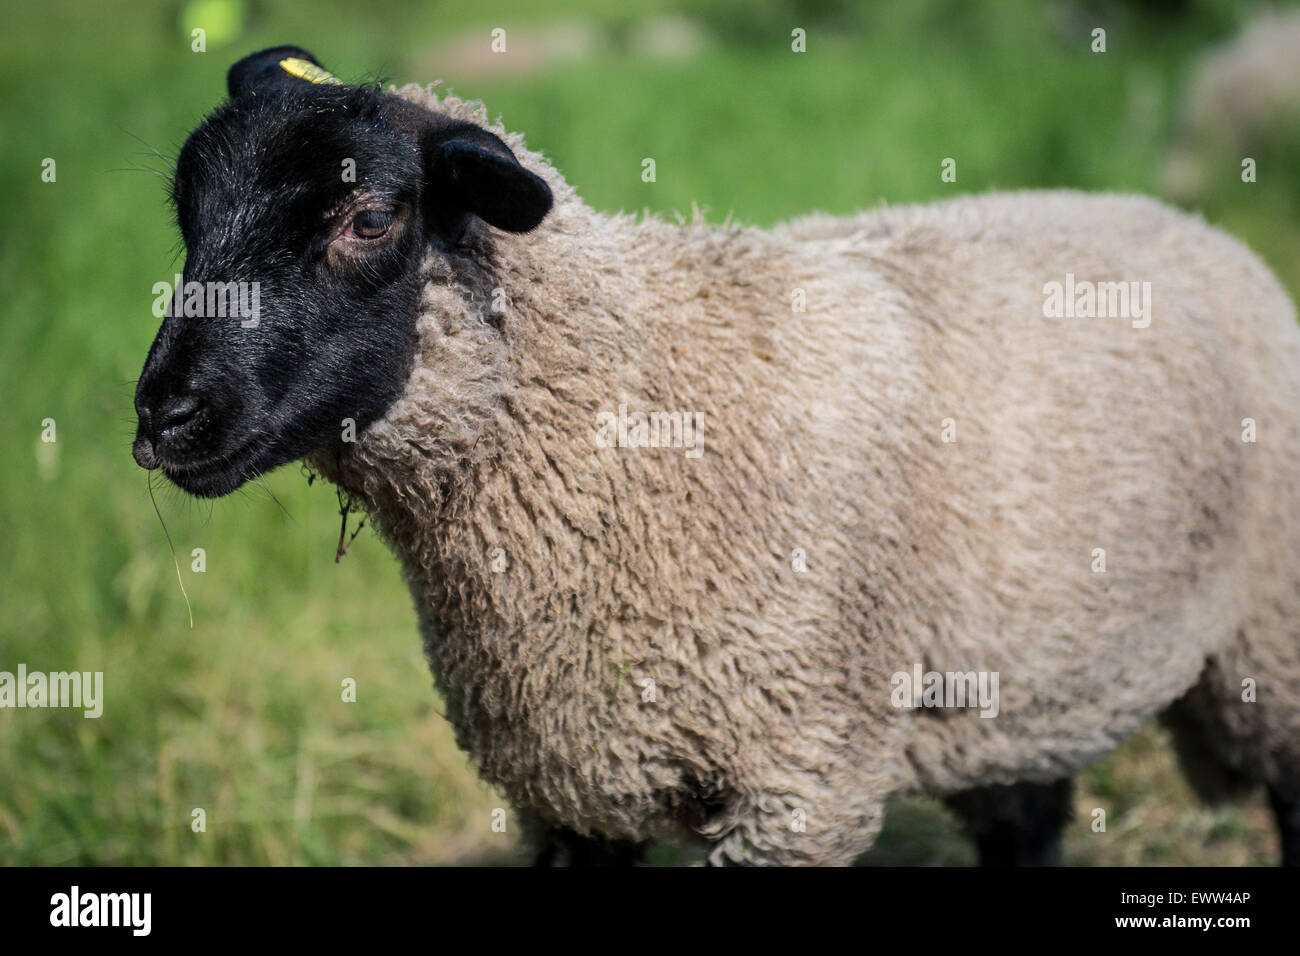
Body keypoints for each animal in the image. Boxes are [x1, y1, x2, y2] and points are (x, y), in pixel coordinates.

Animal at [132, 46, 1300, 866]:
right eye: (186, 215)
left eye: (370, 217)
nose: (161, 417)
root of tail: (1185, 220)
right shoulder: (569, 793)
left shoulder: (801, 783)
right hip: (1010, 688)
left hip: (1268, 646)